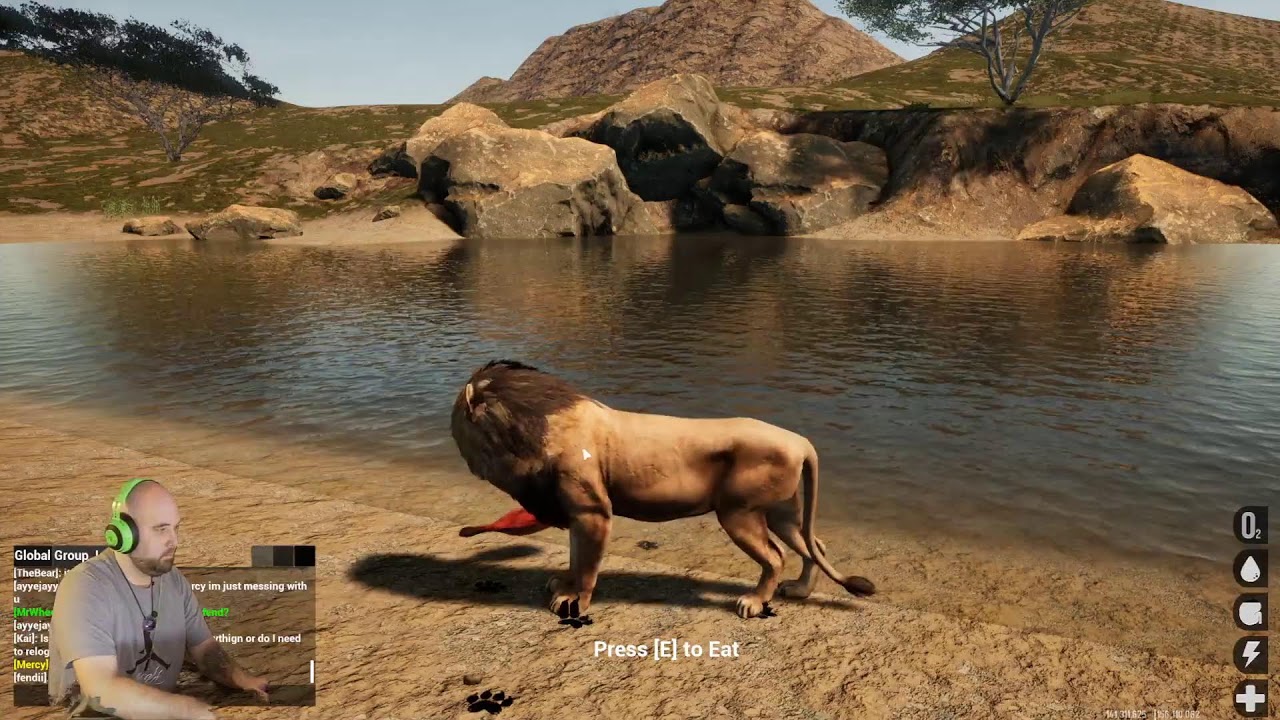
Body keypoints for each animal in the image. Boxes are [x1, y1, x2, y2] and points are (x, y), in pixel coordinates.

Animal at [450, 359, 875, 619]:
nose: (450, 430)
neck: (535, 429)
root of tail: (801, 441)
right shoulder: (575, 514)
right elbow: (574, 557)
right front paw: (563, 585)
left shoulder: (592, 513)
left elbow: (587, 564)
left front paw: (575, 601)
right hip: (780, 511)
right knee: (815, 546)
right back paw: (800, 591)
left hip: (739, 512)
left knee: (774, 557)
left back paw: (754, 602)